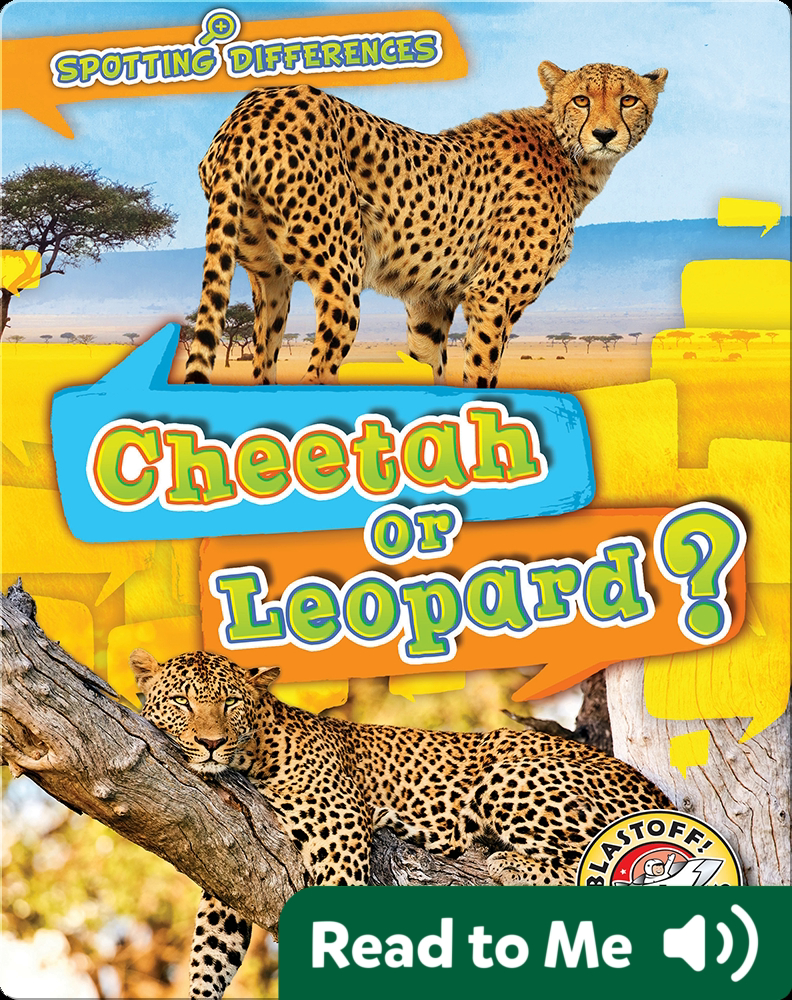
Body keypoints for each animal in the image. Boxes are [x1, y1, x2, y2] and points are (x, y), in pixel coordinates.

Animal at [130, 648, 672, 999]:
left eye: (232, 704)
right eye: (181, 702)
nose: (211, 743)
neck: (253, 754)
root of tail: (657, 792)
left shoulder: (340, 827)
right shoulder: (231, 851)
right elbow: (210, 952)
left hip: (509, 773)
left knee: (602, 863)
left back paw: (503, 861)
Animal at [184, 61, 666, 389]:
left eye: (628, 100)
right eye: (581, 99)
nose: (604, 134)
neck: (571, 156)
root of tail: (256, 104)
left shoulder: (429, 302)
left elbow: (430, 366)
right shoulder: (492, 296)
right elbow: (482, 374)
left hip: (270, 279)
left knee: (264, 362)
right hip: (341, 279)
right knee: (318, 367)